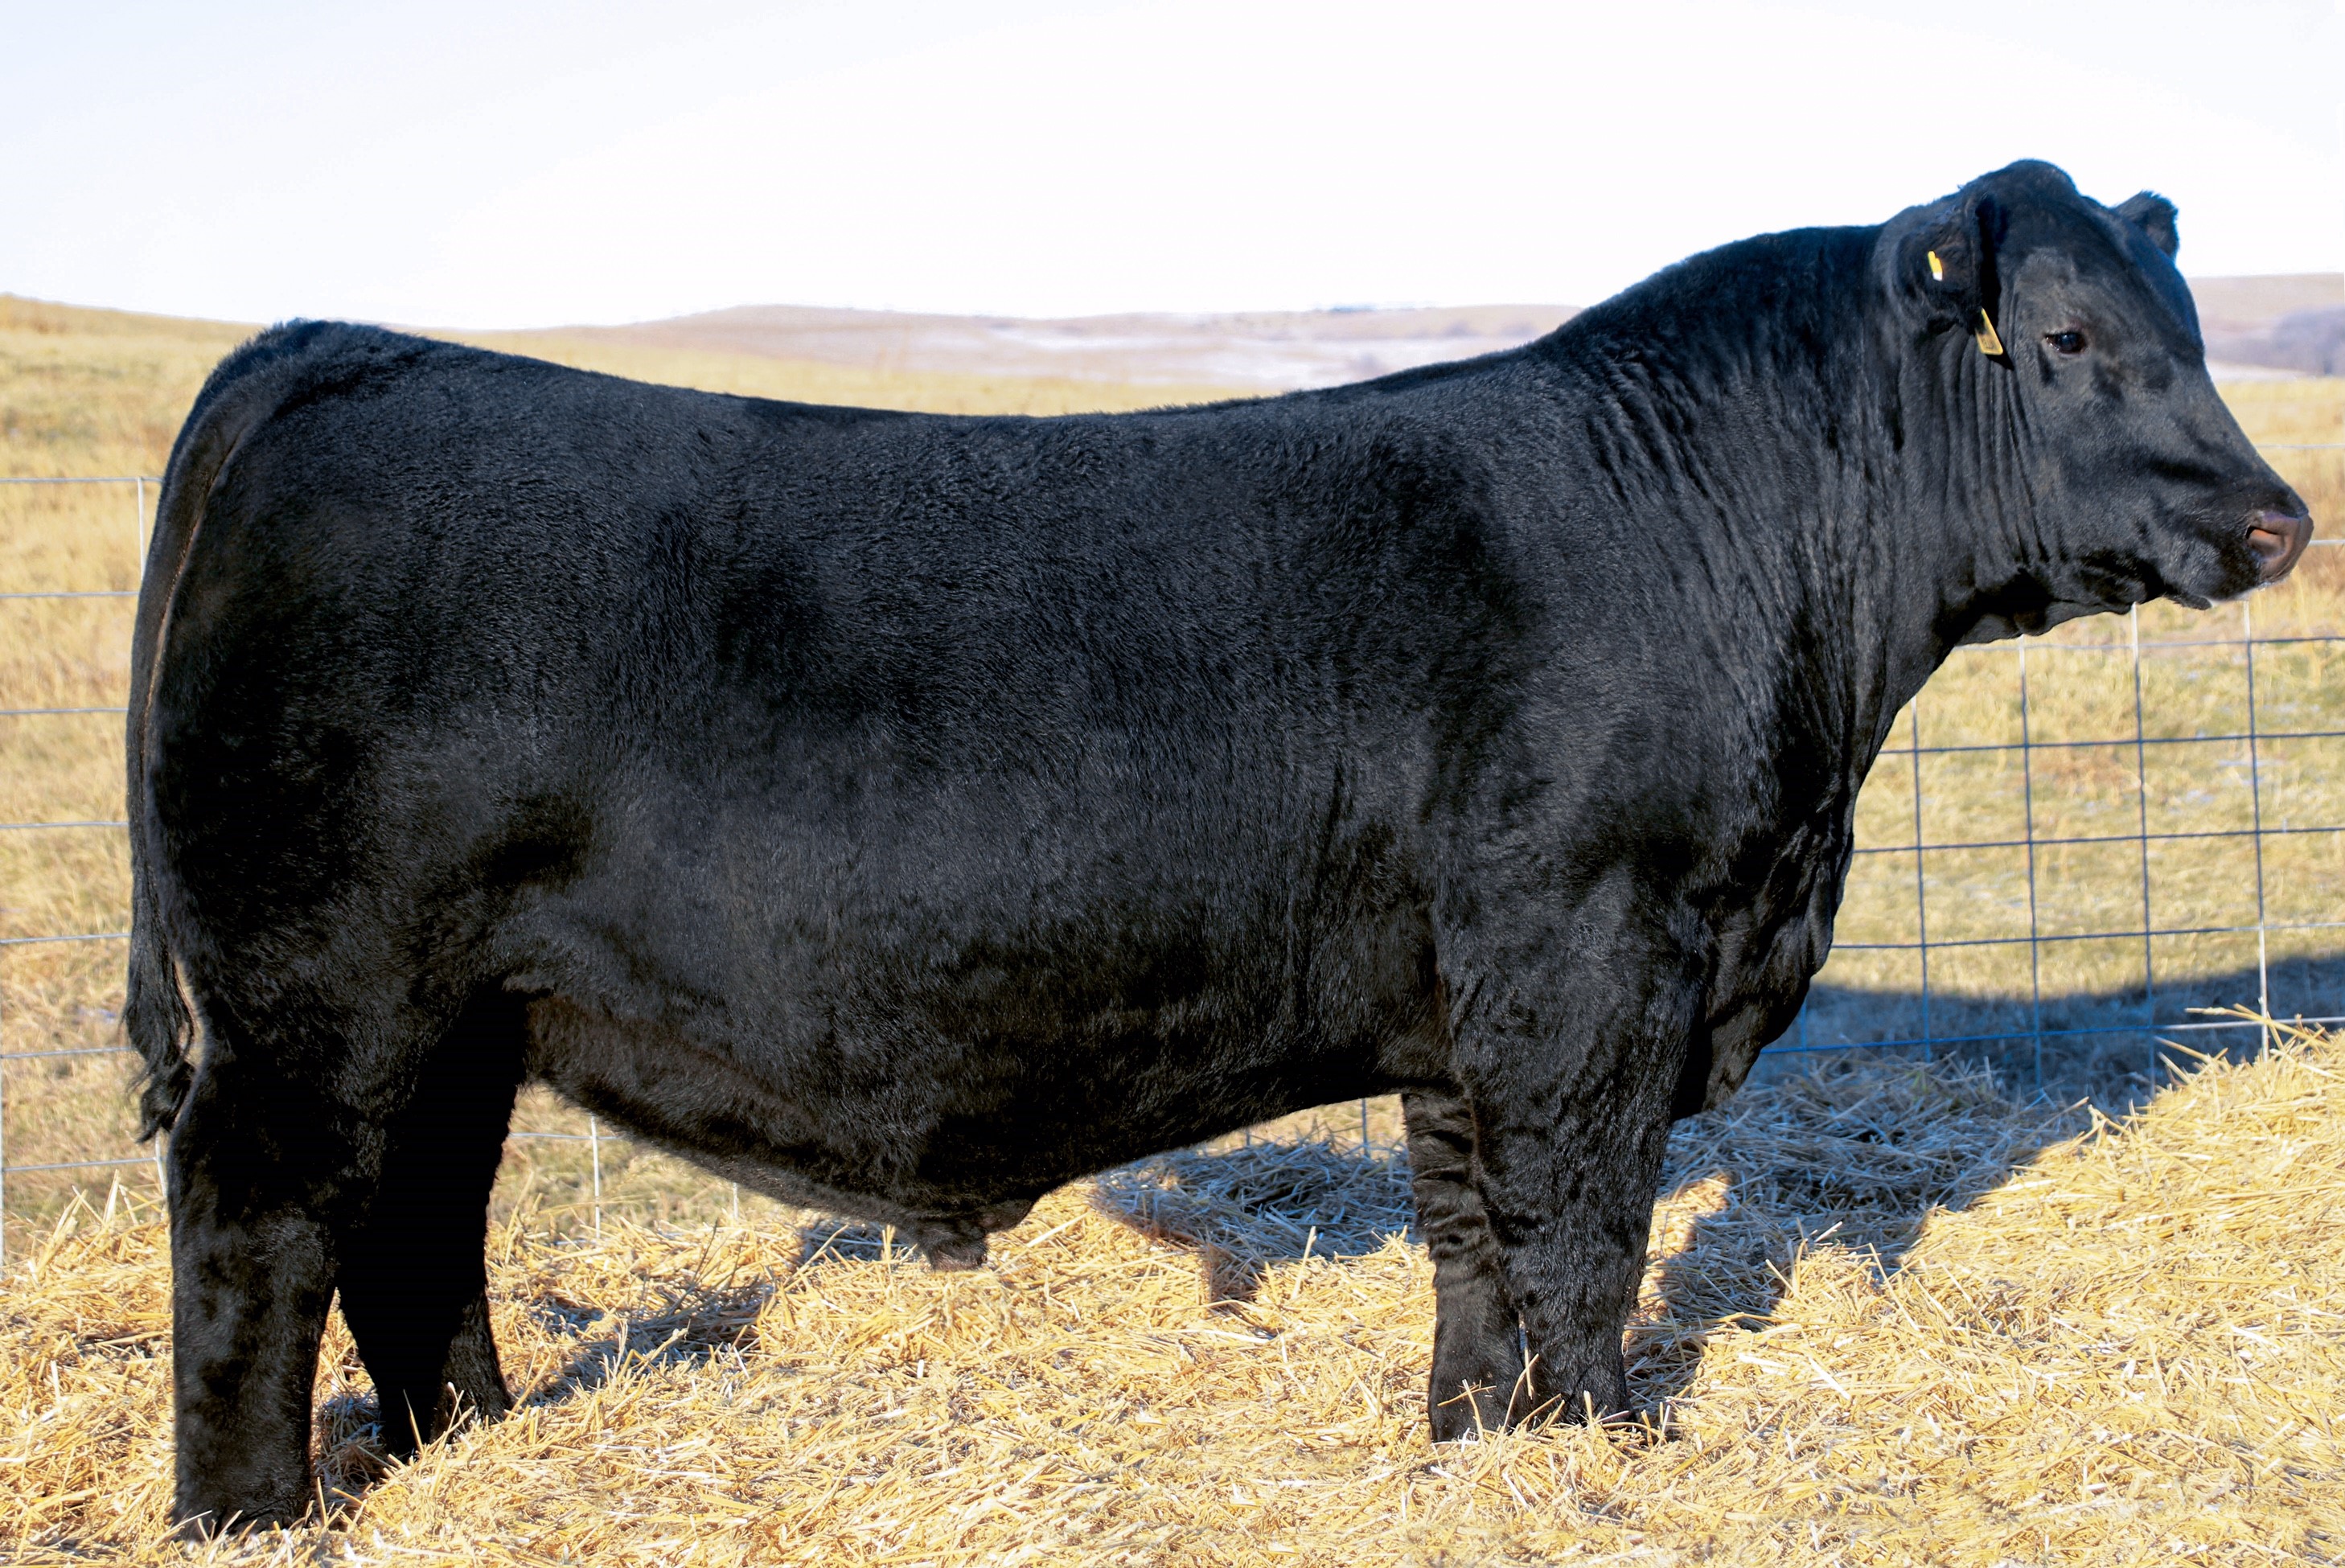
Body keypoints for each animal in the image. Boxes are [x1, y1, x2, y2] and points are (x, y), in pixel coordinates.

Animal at [128, 160, 2310, 1530]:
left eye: (2188, 321)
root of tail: (334, 348)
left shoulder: (1462, 999)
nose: (2278, 516)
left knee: (417, 1223)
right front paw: (1603, 1448)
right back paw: (251, 1515)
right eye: (2069, 335)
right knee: (258, 1225)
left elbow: (1473, 1237)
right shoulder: (1594, 964)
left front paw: (1472, 1442)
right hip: (315, 995)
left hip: (458, 1014)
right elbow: (1585, 1233)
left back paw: (473, 1450)